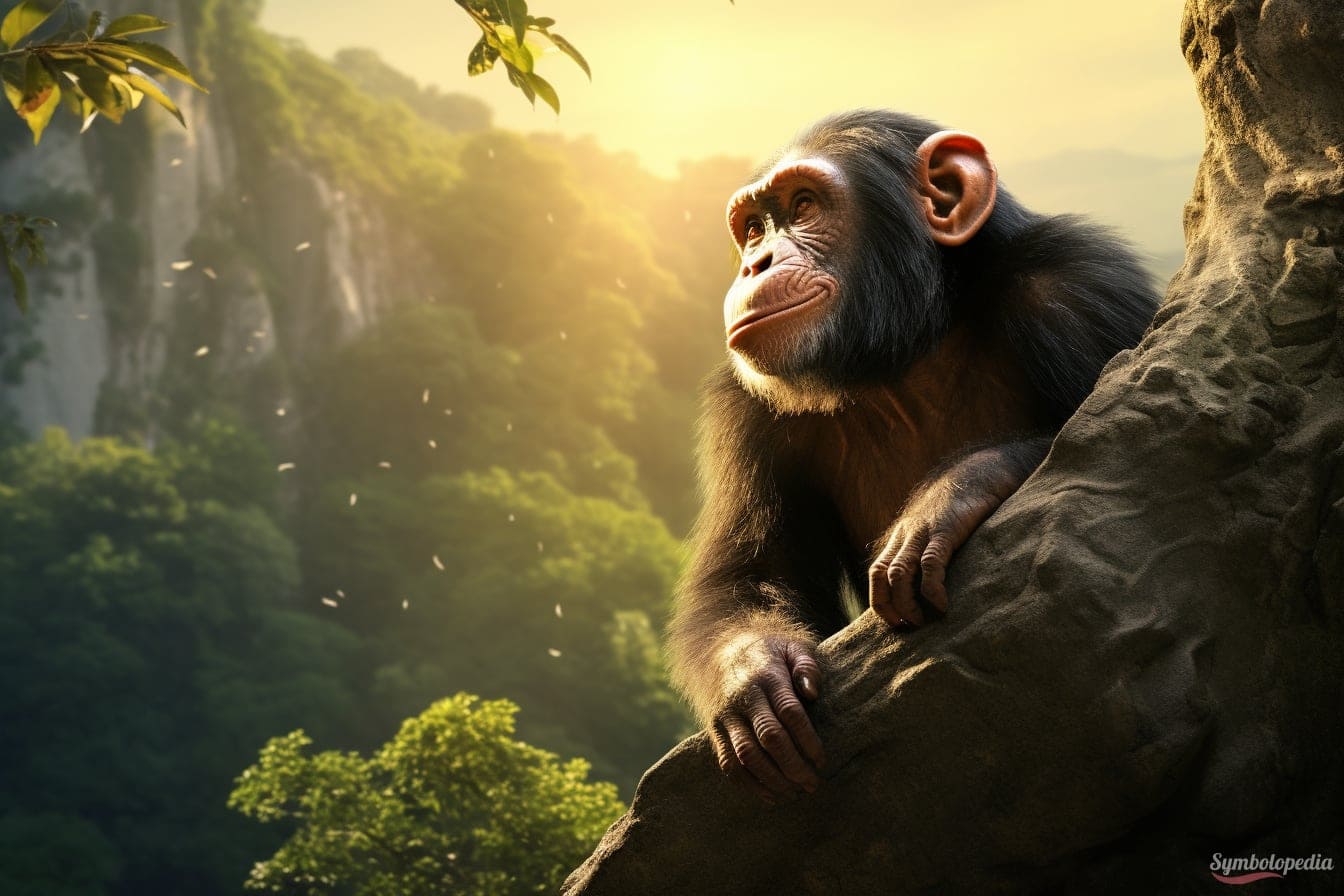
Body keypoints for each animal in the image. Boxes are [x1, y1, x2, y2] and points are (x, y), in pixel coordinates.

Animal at [667, 109, 1158, 802]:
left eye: (804, 204)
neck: (910, 352)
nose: (755, 263)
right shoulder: (749, 415)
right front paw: (752, 674)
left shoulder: (1082, 286)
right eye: (754, 227)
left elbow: (1122, 424)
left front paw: (947, 496)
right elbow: (751, 571)